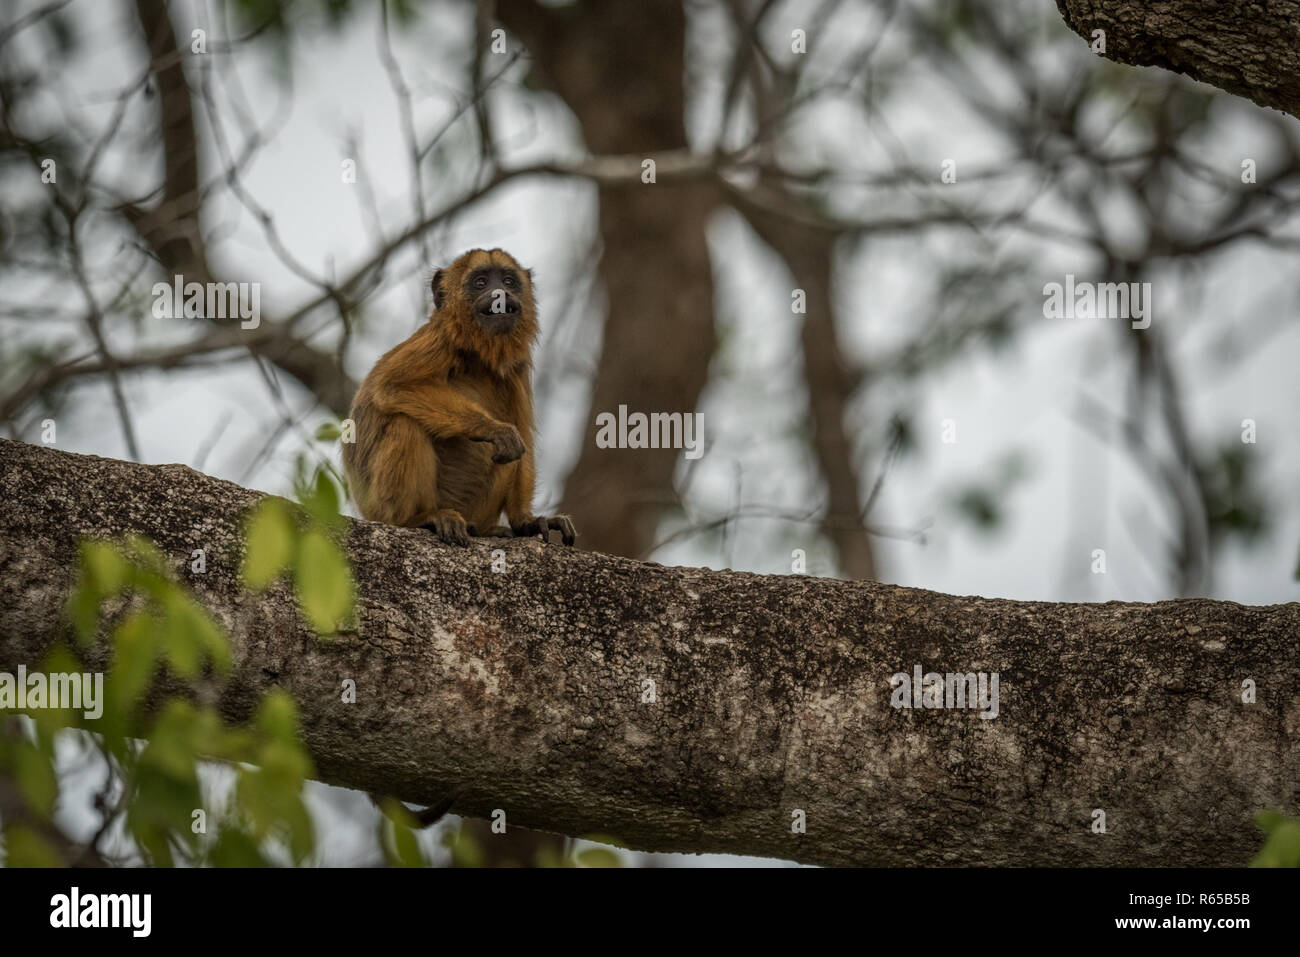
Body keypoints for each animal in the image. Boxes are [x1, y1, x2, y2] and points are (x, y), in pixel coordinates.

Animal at [342, 248, 576, 547]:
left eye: (509, 281)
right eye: (481, 282)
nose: (500, 293)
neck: (477, 354)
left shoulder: (518, 366)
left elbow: (524, 436)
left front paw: (527, 521)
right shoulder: (439, 339)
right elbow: (390, 386)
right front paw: (493, 429)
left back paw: (486, 530)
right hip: (379, 508)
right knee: (405, 424)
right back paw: (419, 519)